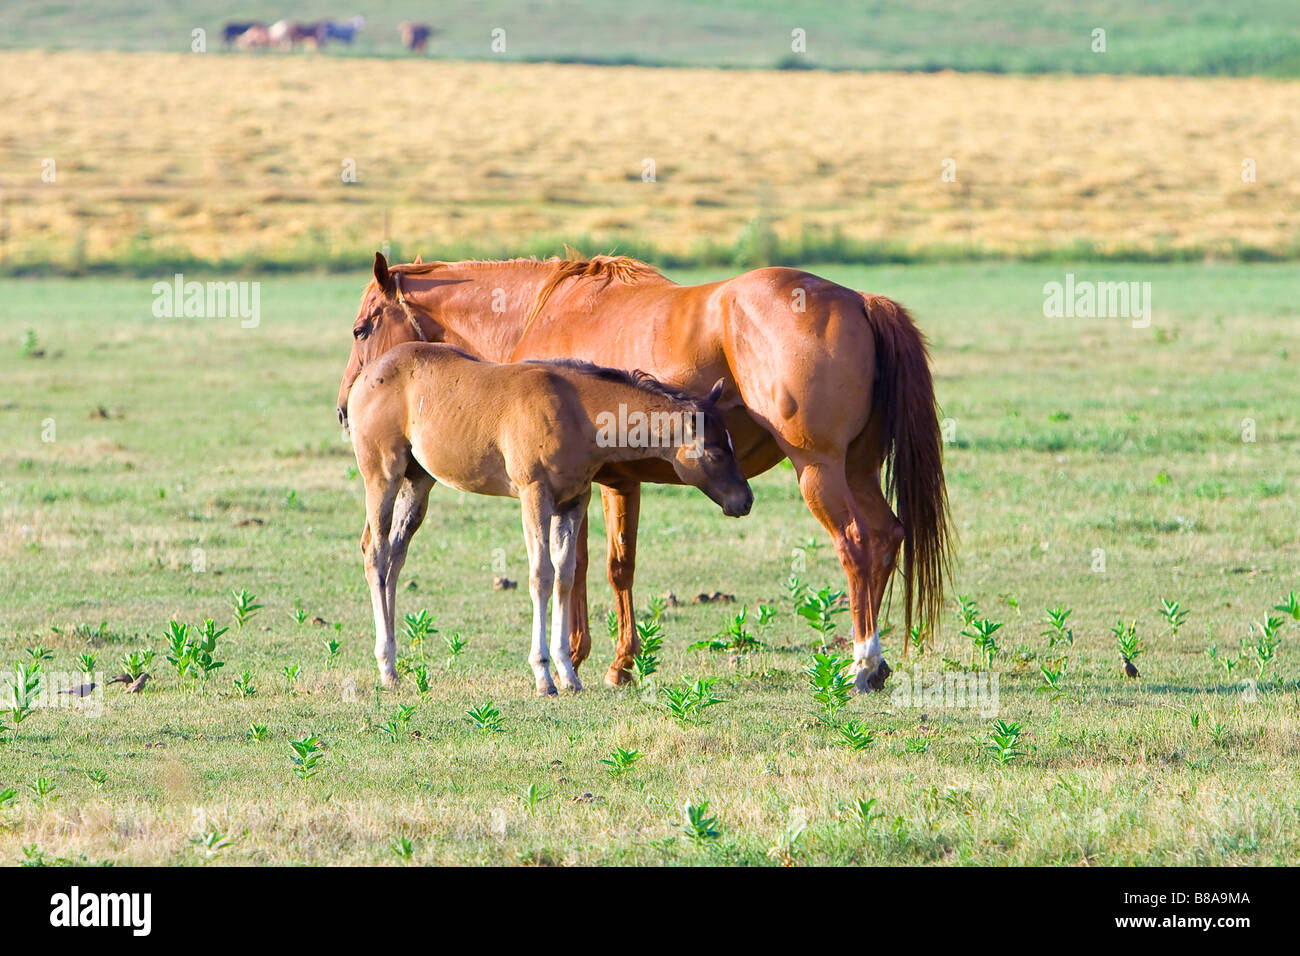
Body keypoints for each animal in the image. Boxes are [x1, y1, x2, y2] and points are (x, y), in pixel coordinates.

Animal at [345, 341, 752, 692]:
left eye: (732, 443)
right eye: (715, 453)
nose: (745, 501)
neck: (577, 411)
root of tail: (366, 376)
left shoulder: (574, 499)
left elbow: (565, 575)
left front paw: (568, 672)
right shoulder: (534, 494)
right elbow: (541, 575)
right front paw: (543, 676)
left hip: (418, 480)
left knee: (395, 555)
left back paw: (393, 664)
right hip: (382, 475)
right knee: (375, 553)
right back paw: (386, 665)